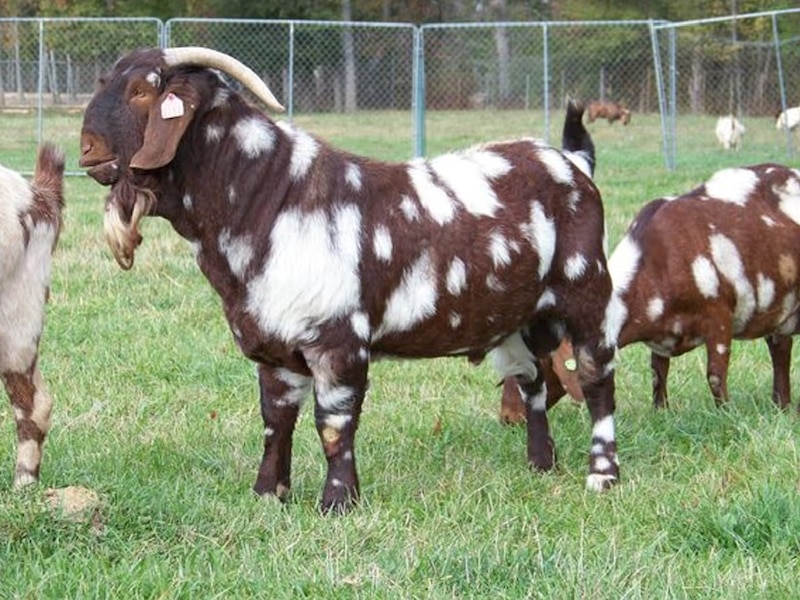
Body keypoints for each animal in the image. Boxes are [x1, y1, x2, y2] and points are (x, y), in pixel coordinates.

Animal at [78, 47, 620, 513]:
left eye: (142, 91)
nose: (86, 150)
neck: (268, 198)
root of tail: (573, 163)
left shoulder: (337, 340)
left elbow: (334, 424)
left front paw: (338, 502)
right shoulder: (274, 349)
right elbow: (276, 422)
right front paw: (268, 495)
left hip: (588, 294)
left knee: (597, 381)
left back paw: (602, 475)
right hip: (518, 322)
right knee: (533, 382)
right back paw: (540, 465)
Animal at [502, 163, 800, 419]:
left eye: (536, 368)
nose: (507, 417)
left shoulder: (719, 316)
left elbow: (715, 374)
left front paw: (725, 413)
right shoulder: (660, 338)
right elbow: (658, 373)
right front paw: (660, 412)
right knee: (781, 349)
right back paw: (782, 406)